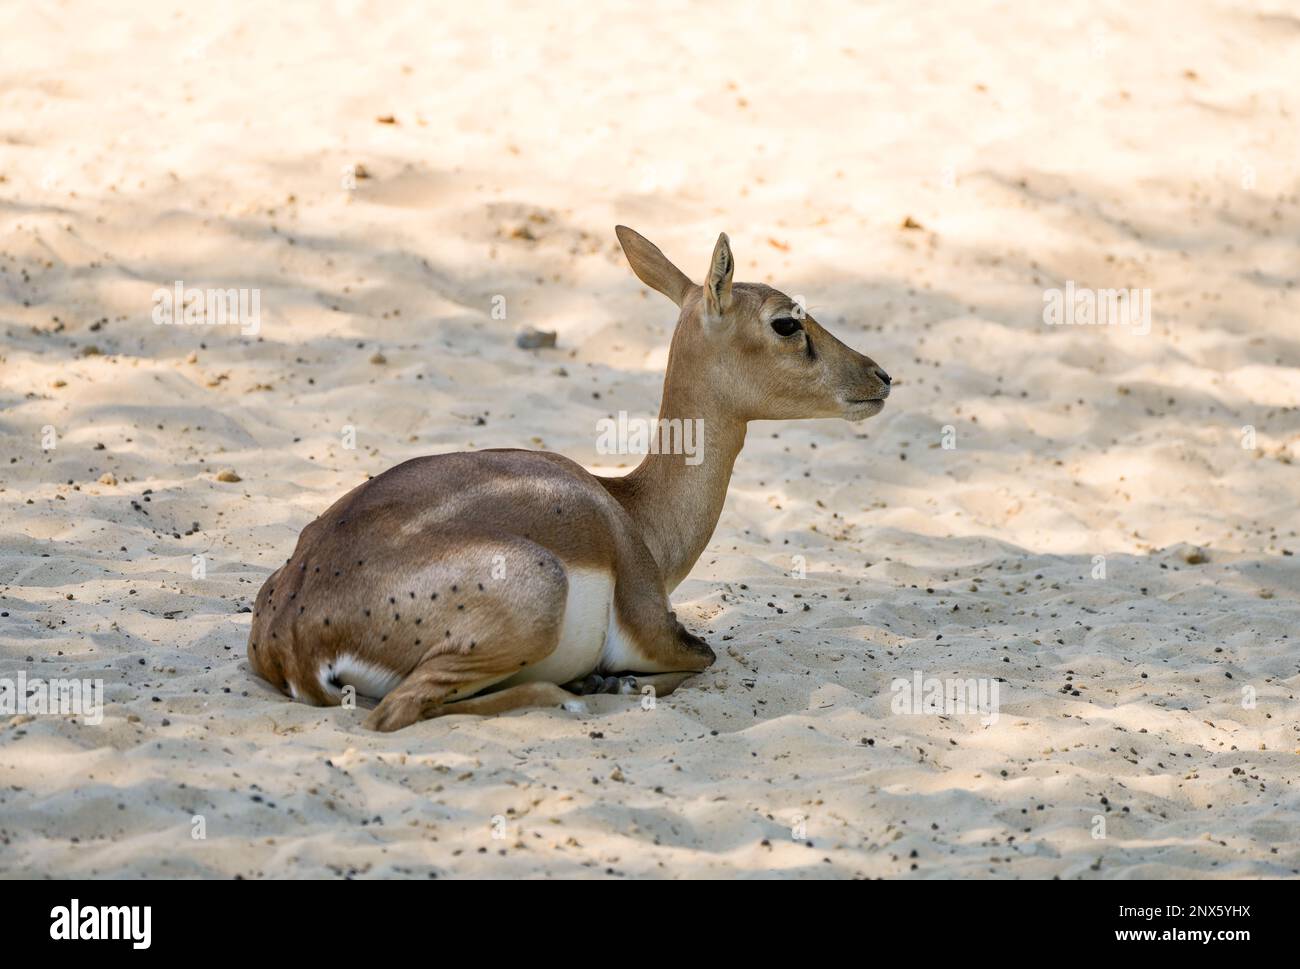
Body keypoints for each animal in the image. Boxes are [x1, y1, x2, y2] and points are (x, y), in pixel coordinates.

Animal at [247, 227, 891, 731]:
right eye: (786, 323)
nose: (880, 377)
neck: (628, 509)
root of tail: (295, 634)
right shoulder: (662, 631)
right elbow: (704, 658)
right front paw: (609, 683)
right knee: (397, 711)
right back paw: (576, 695)